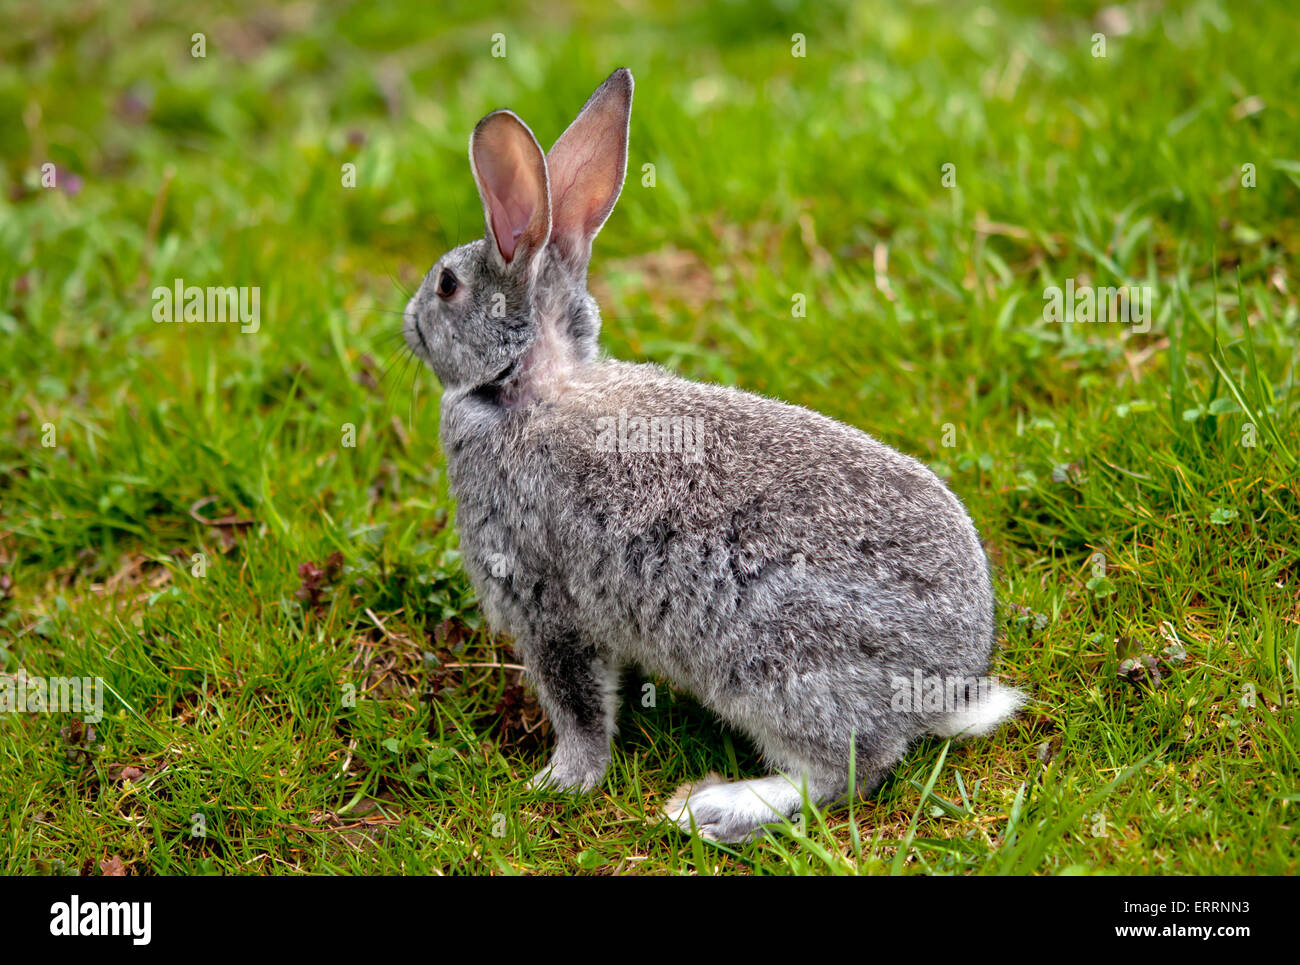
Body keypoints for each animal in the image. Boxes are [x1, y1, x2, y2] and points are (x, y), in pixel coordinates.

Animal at [401, 67, 1024, 843]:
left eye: (447, 284)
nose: (408, 322)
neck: (530, 387)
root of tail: (947, 685)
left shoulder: (543, 596)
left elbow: (579, 705)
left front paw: (559, 780)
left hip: (773, 660)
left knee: (845, 770)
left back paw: (714, 807)